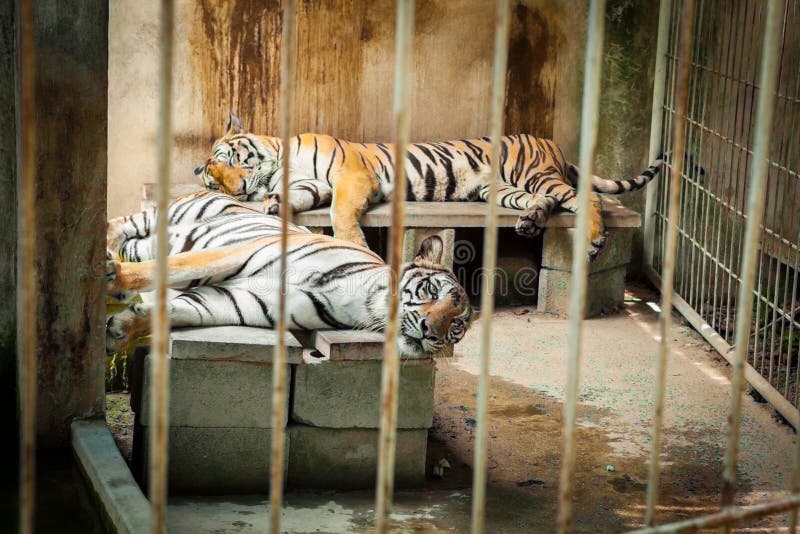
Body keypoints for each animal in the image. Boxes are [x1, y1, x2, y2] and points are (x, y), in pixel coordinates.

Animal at [105, 190, 475, 357]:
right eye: (431, 291)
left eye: (456, 326)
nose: (431, 333)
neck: (362, 302)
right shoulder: (235, 254)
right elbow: (175, 268)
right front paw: (117, 280)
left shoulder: (238, 301)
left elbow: (177, 309)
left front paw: (123, 327)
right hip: (168, 217)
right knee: (121, 222)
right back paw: (106, 254)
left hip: (150, 241)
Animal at [194, 111, 665, 259]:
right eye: (215, 183)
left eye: (228, 160)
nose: (237, 190)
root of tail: (554, 144)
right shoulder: (314, 185)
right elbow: (293, 197)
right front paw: (270, 206)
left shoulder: (351, 176)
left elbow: (340, 214)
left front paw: (355, 244)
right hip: (502, 190)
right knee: (546, 200)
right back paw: (531, 222)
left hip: (533, 172)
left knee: (587, 197)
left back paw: (594, 240)